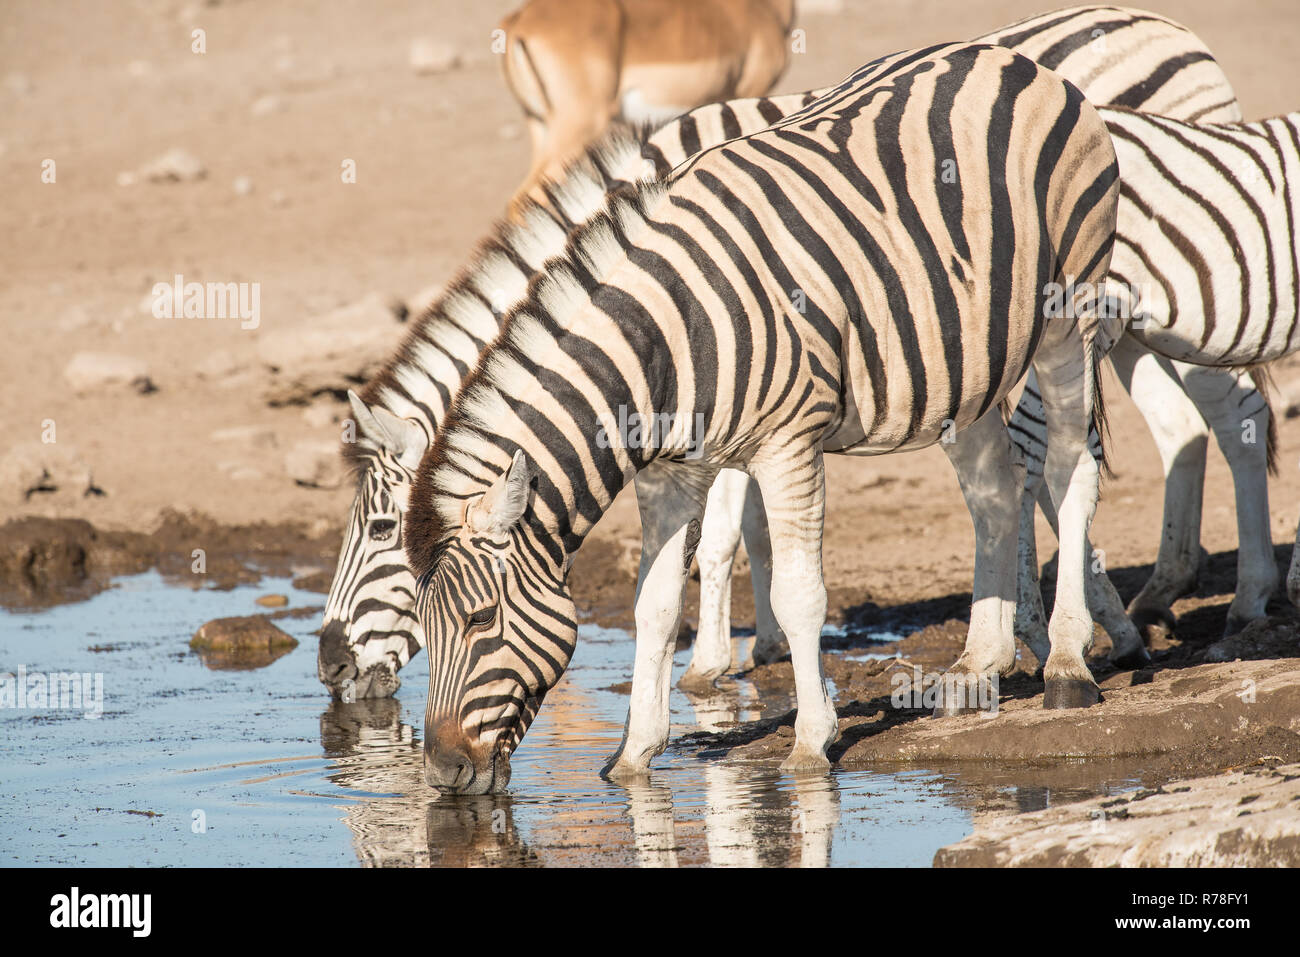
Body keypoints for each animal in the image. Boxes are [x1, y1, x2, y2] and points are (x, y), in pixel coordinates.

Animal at [317, 4, 1239, 699]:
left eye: (383, 527)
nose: (325, 665)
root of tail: (1166, 24)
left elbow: (722, 530)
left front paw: (711, 662)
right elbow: (753, 522)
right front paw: (755, 643)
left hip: (1140, 286)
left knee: (1208, 417)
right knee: (1148, 431)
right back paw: (1133, 608)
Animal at [404, 41, 1123, 792]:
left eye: (481, 618)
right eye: (422, 629)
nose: (444, 772)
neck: (667, 342)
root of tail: (1008, 58)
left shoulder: (788, 447)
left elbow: (797, 593)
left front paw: (810, 742)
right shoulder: (672, 476)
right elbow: (655, 606)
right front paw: (634, 754)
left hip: (1069, 310)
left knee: (1070, 468)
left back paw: (1067, 663)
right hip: (964, 365)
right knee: (994, 494)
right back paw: (978, 666)